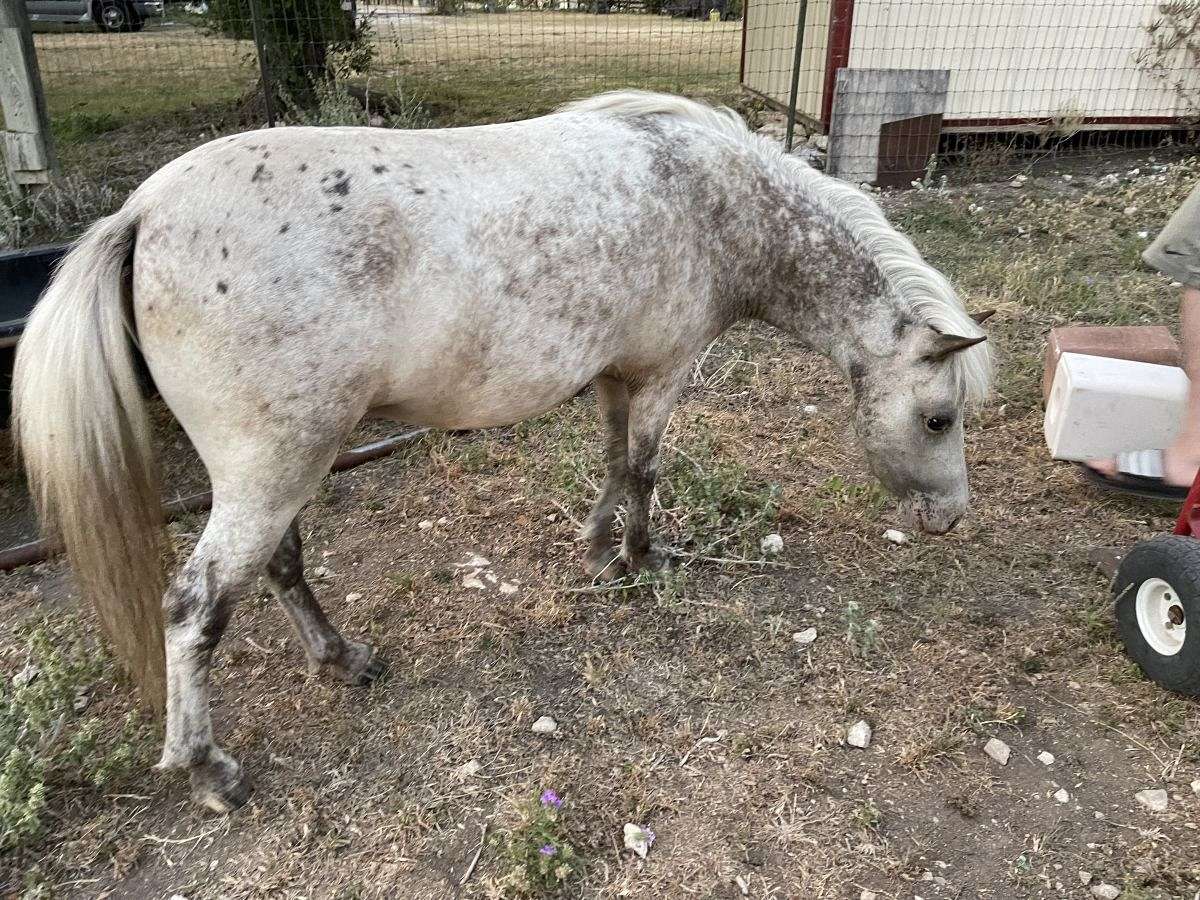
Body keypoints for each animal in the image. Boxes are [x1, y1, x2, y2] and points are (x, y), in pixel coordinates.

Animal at [13, 91, 992, 813]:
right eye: (939, 419)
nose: (951, 517)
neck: (712, 202)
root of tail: (141, 213)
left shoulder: (615, 374)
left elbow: (611, 464)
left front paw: (597, 551)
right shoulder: (664, 373)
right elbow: (645, 471)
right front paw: (641, 561)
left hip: (278, 470)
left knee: (280, 568)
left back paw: (344, 661)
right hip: (268, 471)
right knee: (194, 607)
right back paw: (208, 768)